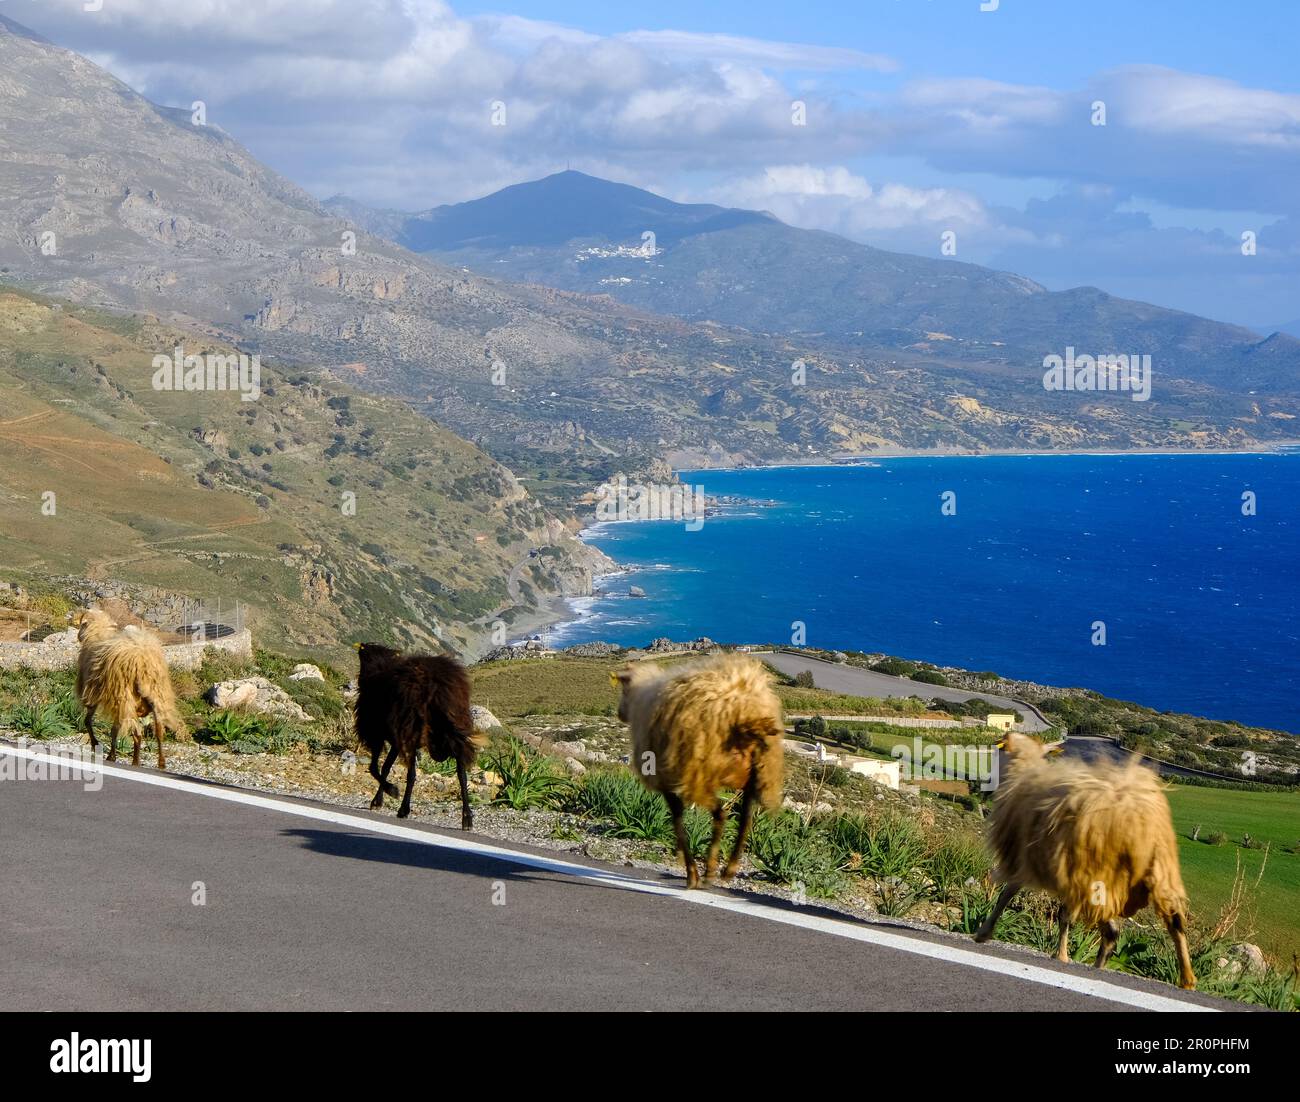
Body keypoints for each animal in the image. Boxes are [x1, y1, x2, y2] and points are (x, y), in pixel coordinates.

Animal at [75, 609, 187, 770]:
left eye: (82, 624)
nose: (78, 636)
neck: (97, 633)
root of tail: (141, 662)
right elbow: (113, 727)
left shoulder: (93, 693)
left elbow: (88, 721)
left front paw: (97, 745)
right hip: (155, 695)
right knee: (159, 730)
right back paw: (161, 762)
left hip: (124, 696)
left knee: (137, 732)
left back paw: (134, 761)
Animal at [353, 643, 484, 827]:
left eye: (365, 653)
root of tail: (435, 683)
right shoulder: (396, 740)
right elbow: (385, 767)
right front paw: (380, 799)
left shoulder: (379, 735)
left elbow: (375, 768)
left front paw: (389, 792)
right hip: (451, 729)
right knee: (461, 773)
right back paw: (467, 818)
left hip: (412, 730)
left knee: (411, 774)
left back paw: (403, 809)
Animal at [612, 653, 785, 888]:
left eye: (623, 688)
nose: (619, 713)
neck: (640, 696)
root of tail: (743, 713)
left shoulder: (666, 779)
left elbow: (677, 820)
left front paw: (690, 871)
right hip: (756, 771)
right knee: (746, 818)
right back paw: (729, 868)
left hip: (702, 774)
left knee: (721, 813)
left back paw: (709, 869)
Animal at [974, 732, 1196, 989]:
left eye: (999, 750)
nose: (986, 781)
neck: (1022, 773)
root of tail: (1136, 819)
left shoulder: (1023, 859)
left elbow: (1006, 896)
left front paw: (984, 932)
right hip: (1160, 871)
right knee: (1171, 922)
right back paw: (1186, 978)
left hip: (1090, 870)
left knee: (1087, 922)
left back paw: (1068, 957)